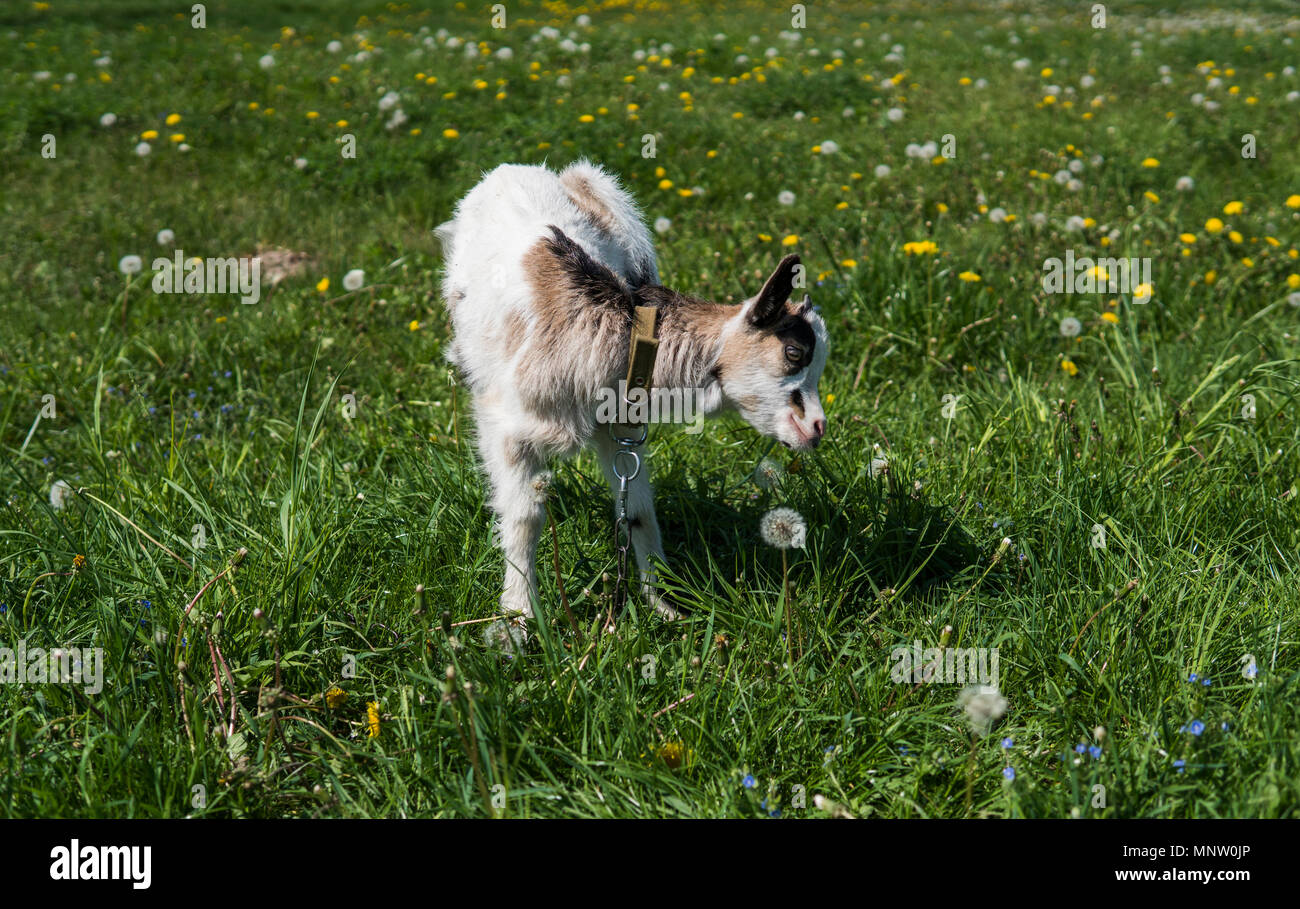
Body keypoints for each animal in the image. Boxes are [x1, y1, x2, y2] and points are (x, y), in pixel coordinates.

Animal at [436, 160, 829, 646]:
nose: (816, 428)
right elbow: (525, 517)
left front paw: (664, 609)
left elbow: (639, 510)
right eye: (794, 353)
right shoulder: (507, 432)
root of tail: (516, 167)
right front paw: (517, 622)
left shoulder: (619, 427)